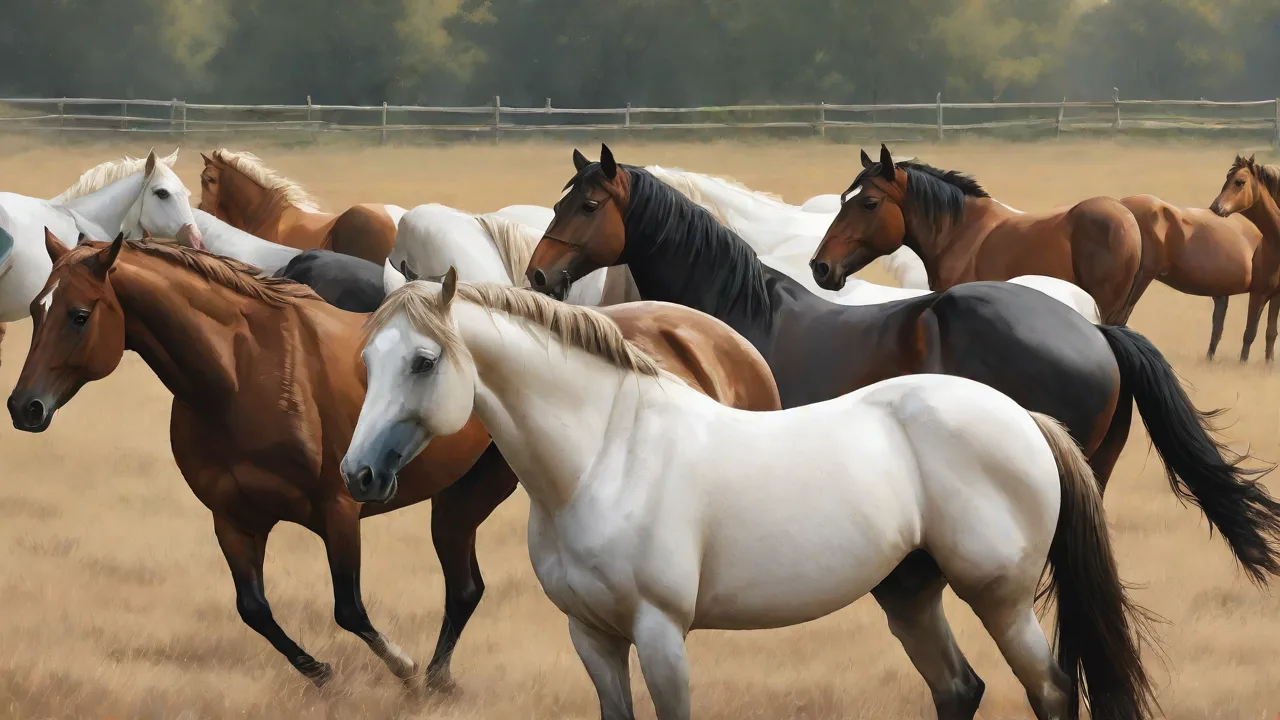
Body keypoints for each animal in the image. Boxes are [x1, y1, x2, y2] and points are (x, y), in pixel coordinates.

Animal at [6, 232, 780, 690]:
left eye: (80, 314)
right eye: (36, 308)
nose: (24, 408)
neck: (241, 374)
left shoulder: (337, 508)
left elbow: (349, 607)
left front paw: (397, 669)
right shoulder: (233, 520)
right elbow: (254, 609)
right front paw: (321, 674)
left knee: (465, 589)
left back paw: (429, 676)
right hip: (460, 502)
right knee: (465, 588)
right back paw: (440, 680)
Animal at [341, 272, 1157, 720]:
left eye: (423, 361)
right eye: (366, 361)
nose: (359, 476)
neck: (606, 457)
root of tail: (1022, 418)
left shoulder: (661, 633)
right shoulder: (592, 636)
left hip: (1001, 597)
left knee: (1053, 692)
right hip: (910, 594)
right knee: (959, 690)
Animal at [1208, 155, 1280, 363]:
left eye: (1239, 182)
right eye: (1226, 179)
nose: (1215, 207)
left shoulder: (1275, 295)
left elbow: (1270, 333)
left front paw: (1269, 365)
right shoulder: (1257, 293)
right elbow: (1250, 333)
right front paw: (1243, 363)